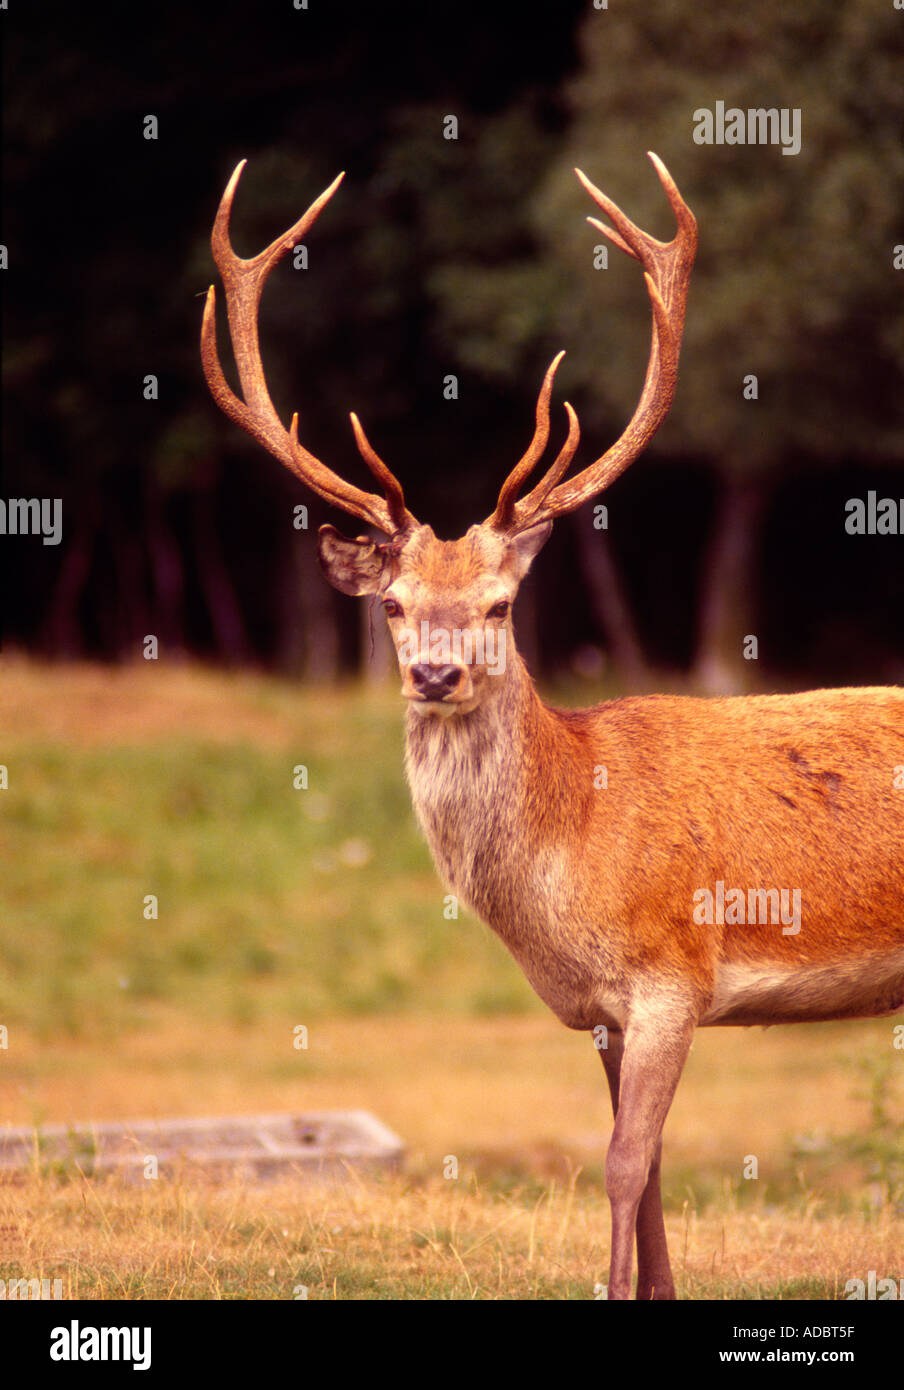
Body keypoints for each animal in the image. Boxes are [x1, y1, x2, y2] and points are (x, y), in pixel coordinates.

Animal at [201, 153, 904, 1299]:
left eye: (498, 605)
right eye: (391, 605)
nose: (436, 669)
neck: (571, 848)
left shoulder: (672, 976)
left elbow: (621, 1165)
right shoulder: (605, 1015)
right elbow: (648, 1170)